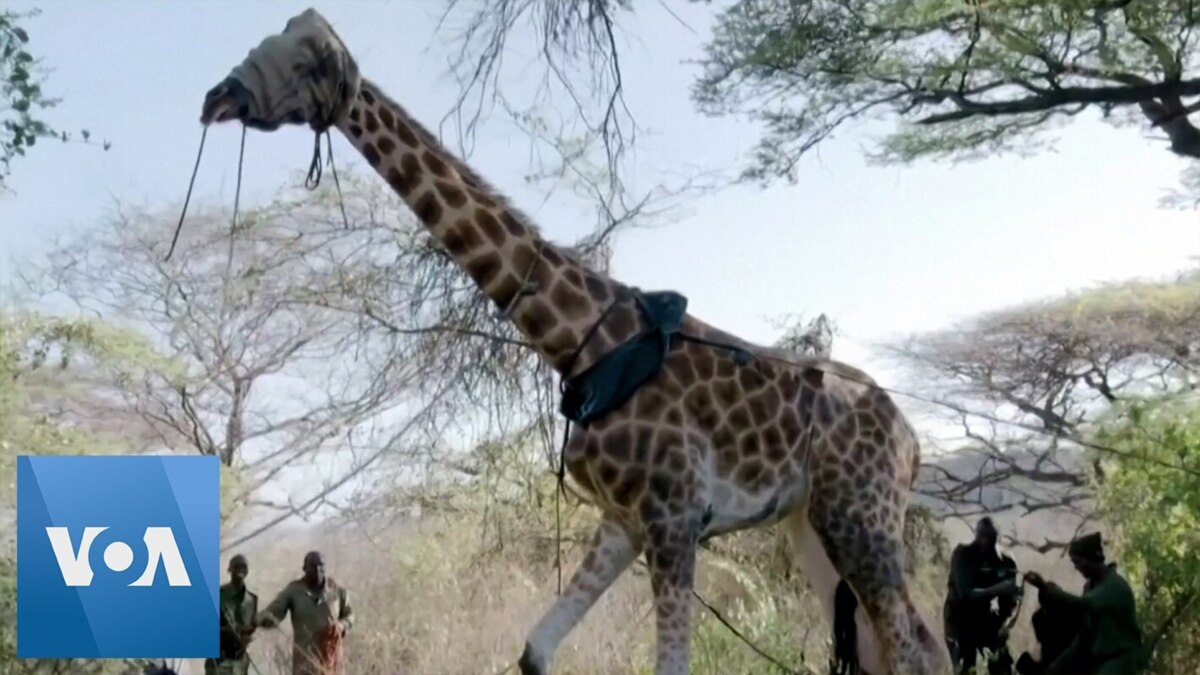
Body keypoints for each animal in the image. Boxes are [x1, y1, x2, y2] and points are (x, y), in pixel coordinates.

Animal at [197, 9, 951, 675]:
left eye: (305, 61)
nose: (215, 97)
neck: (575, 339)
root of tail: (911, 438)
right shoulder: (625, 521)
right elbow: (535, 651)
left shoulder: (674, 515)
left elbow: (671, 665)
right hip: (810, 521)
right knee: (890, 647)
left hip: (862, 513)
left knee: (918, 644)